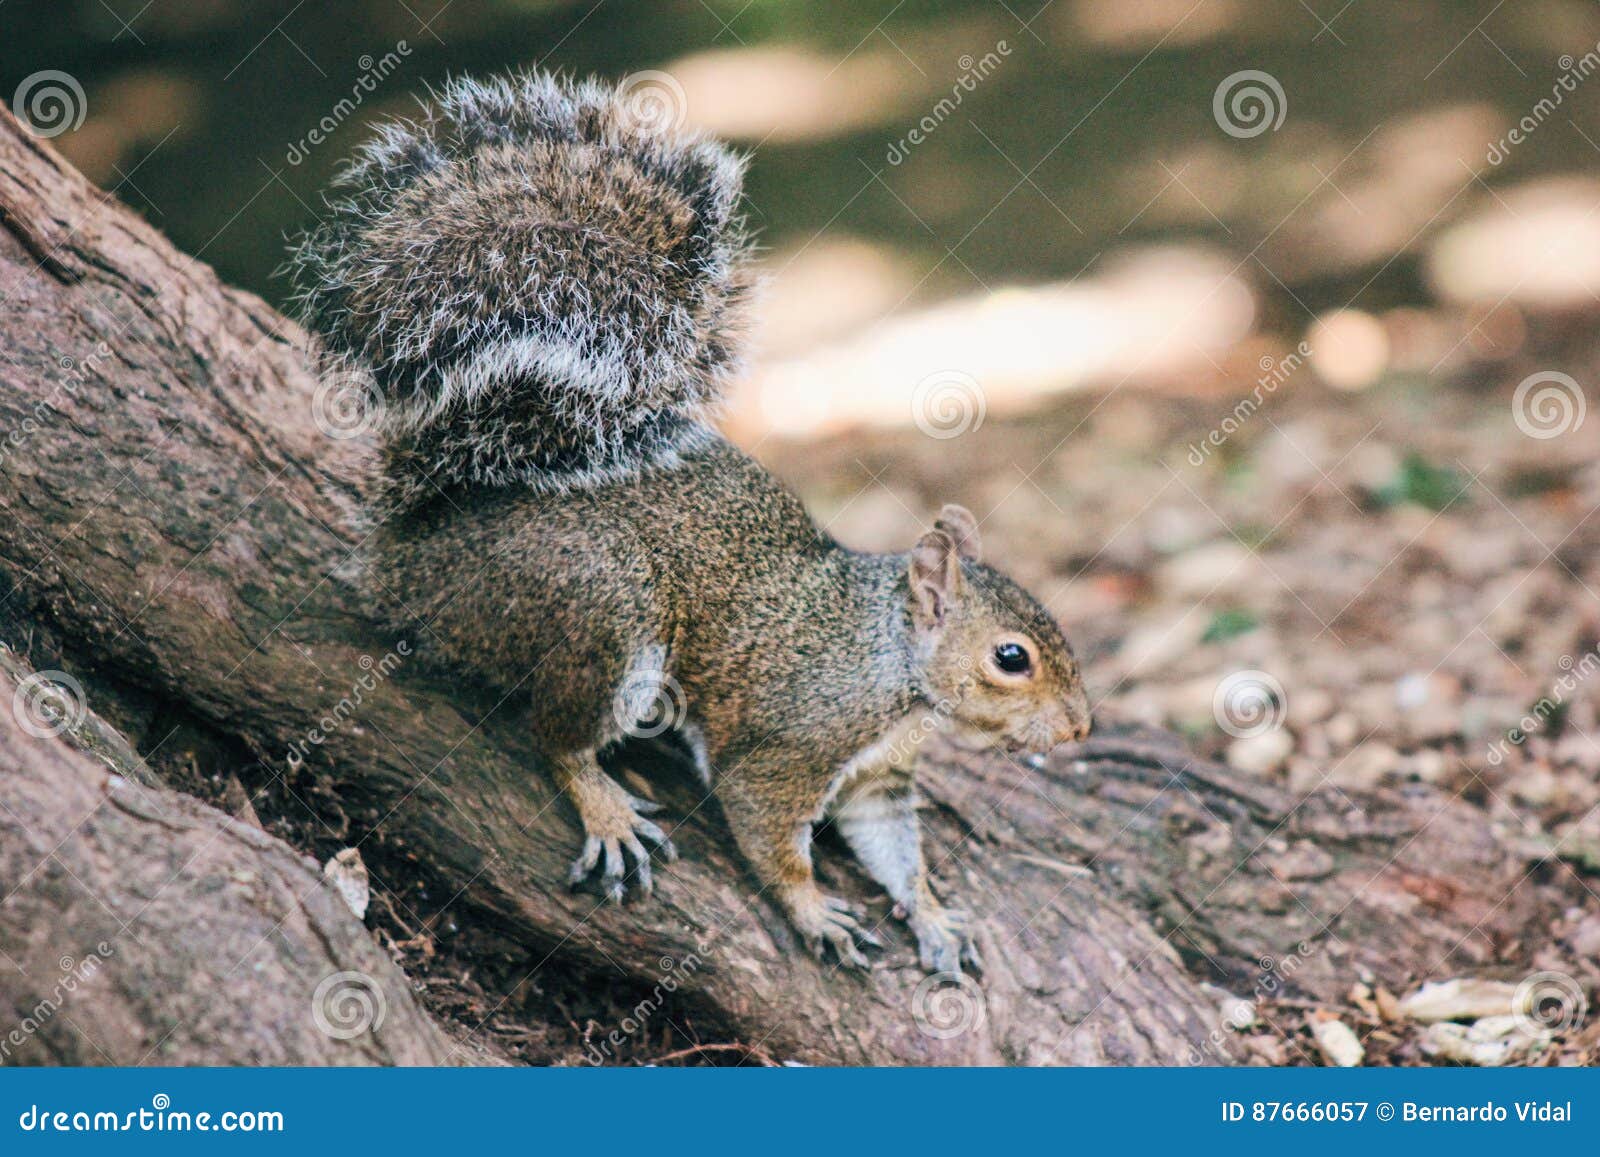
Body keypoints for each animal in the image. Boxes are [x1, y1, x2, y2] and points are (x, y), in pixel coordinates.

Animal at [287, 71, 1091, 975]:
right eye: (1011, 657)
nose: (1081, 725)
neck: (893, 669)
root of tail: (417, 548)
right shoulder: (794, 745)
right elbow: (768, 829)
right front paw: (813, 910)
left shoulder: (878, 779)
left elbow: (893, 849)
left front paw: (933, 916)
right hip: (603, 604)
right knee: (555, 736)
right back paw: (604, 805)